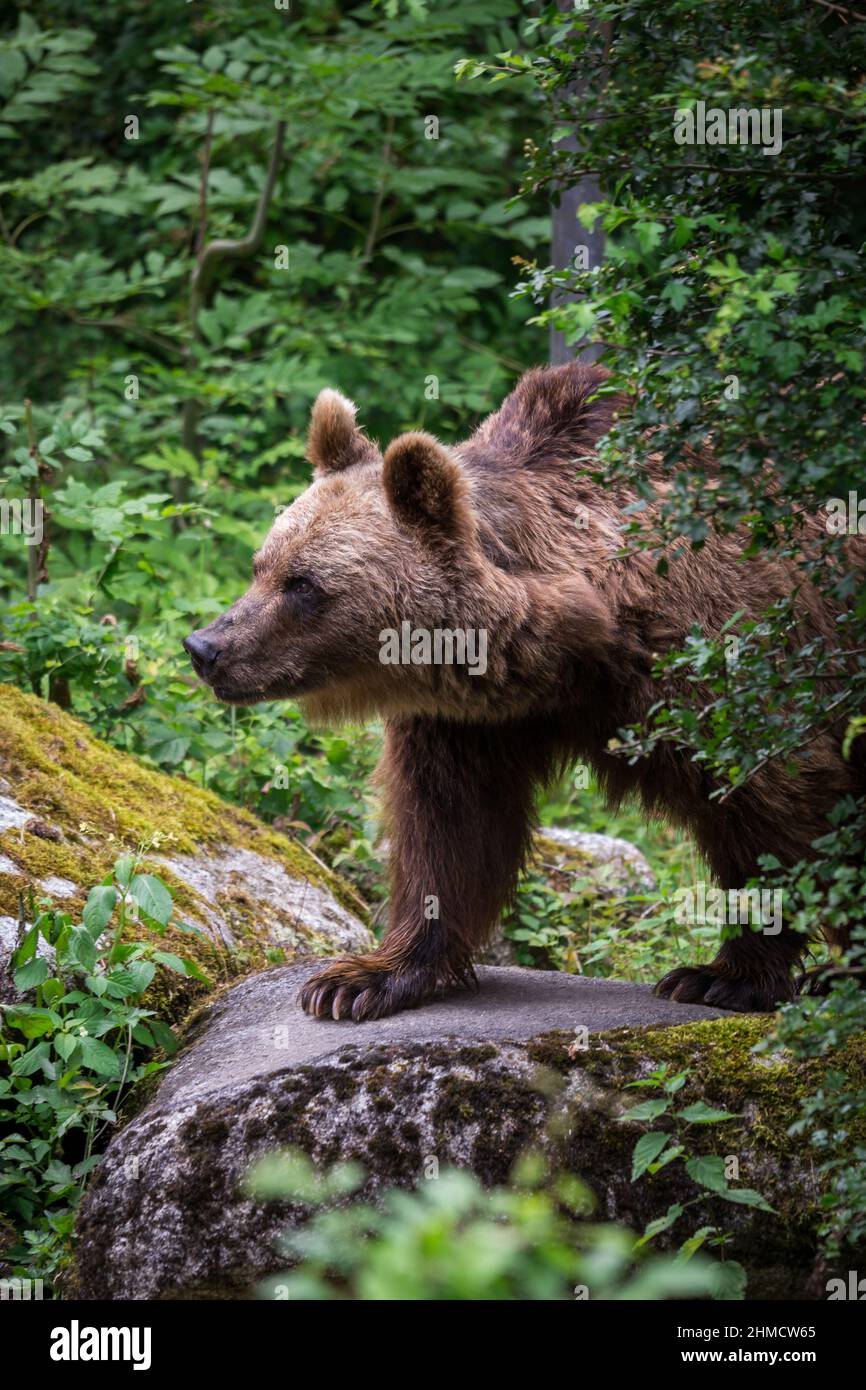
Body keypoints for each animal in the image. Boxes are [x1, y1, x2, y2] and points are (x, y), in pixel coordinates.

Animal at [184, 361, 864, 1021]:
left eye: (304, 585)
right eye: (262, 565)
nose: (206, 647)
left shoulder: (724, 657)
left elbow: (769, 804)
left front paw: (721, 975)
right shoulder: (469, 723)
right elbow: (449, 827)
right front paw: (361, 980)